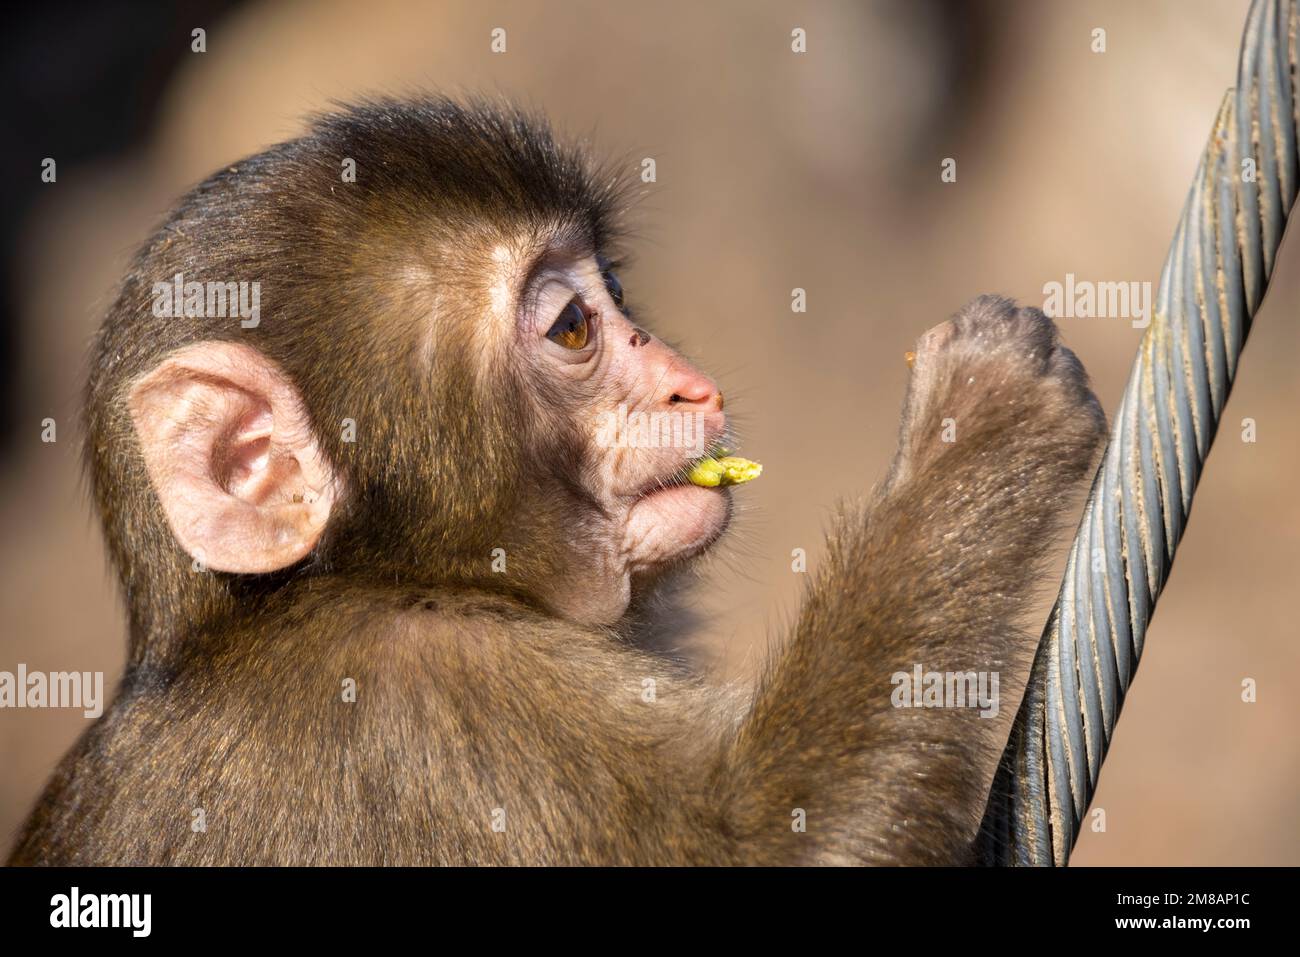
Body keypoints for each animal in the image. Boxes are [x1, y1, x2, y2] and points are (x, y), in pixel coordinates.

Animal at [6, 97, 1106, 866]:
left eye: (613, 291)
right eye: (575, 326)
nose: (687, 384)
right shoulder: (428, 698)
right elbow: (769, 839)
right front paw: (982, 417)